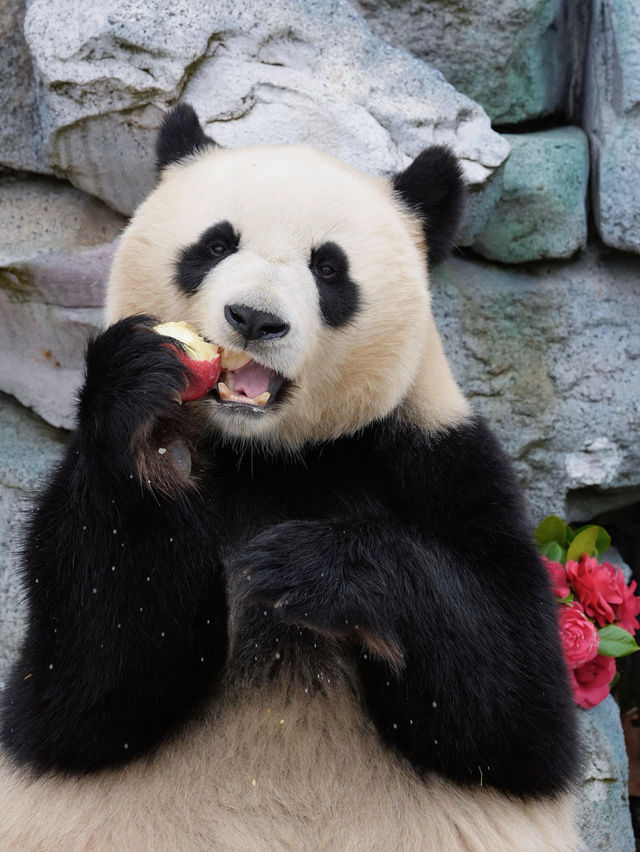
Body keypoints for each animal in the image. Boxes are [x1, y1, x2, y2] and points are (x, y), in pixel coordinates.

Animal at [0, 104, 579, 851]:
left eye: (328, 267)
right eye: (216, 244)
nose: (254, 318)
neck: (267, 455)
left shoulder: (438, 460)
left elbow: (518, 710)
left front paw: (306, 566)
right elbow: (85, 691)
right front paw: (139, 395)